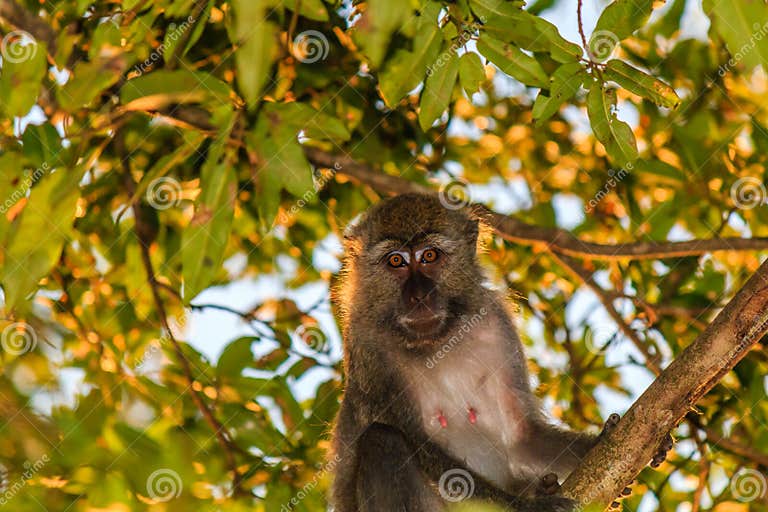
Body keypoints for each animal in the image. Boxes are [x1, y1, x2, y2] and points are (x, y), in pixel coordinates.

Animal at [329, 192, 634, 512]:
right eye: (396, 261)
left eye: (430, 256)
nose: (419, 297)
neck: (436, 342)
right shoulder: (368, 348)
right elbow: (421, 448)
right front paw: (528, 506)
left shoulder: (496, 323)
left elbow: (523, 437)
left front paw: (598, 442)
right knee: (382, 441)